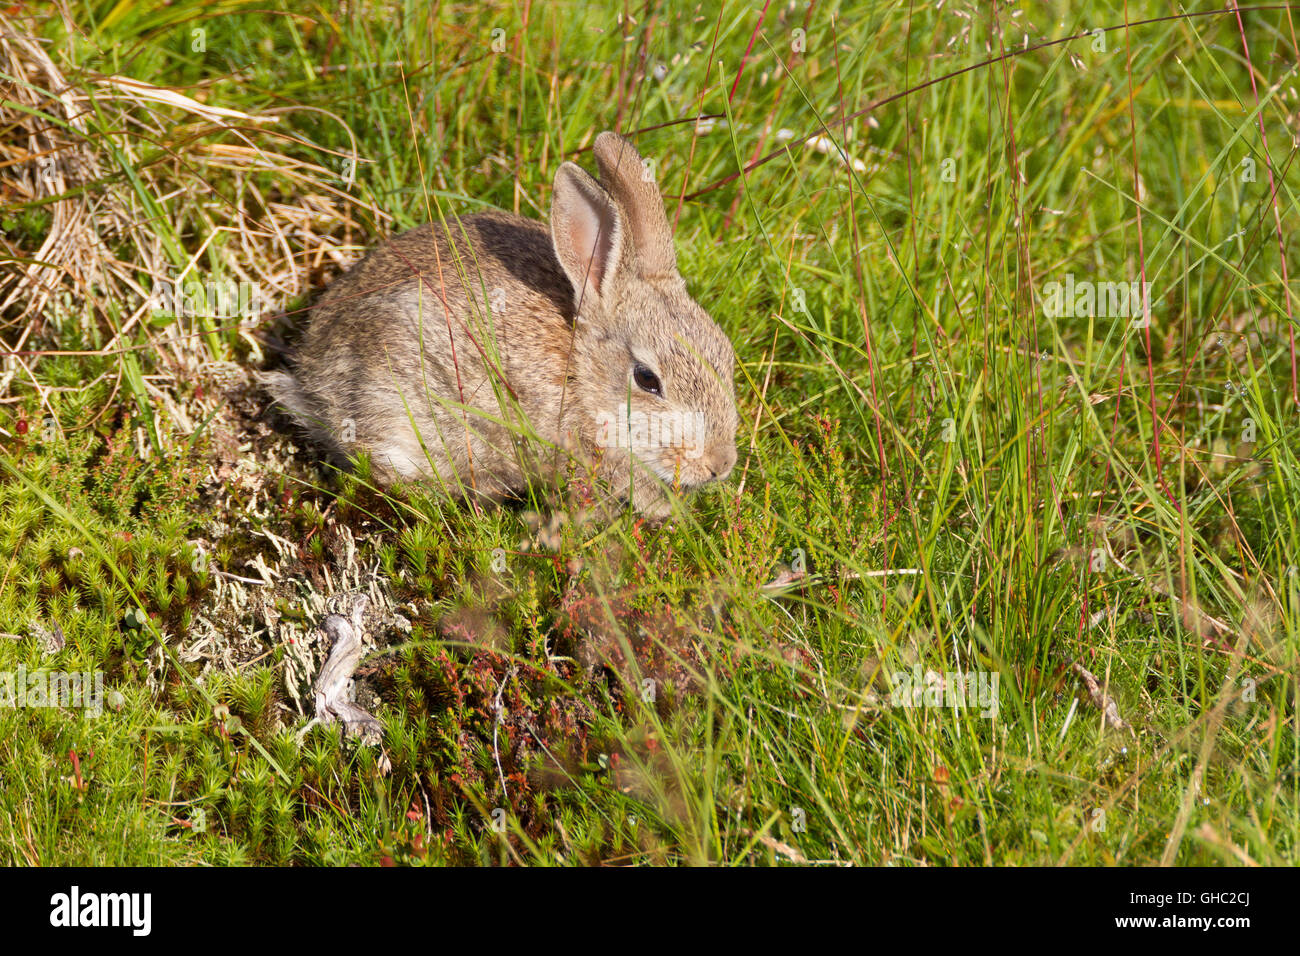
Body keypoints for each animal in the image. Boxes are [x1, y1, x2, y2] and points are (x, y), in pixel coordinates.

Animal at [260, 131, 738, 519]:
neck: (579, 371)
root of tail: (310, 382)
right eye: (647, 379)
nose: (721, 465)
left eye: (727, 354)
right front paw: (666, 510)